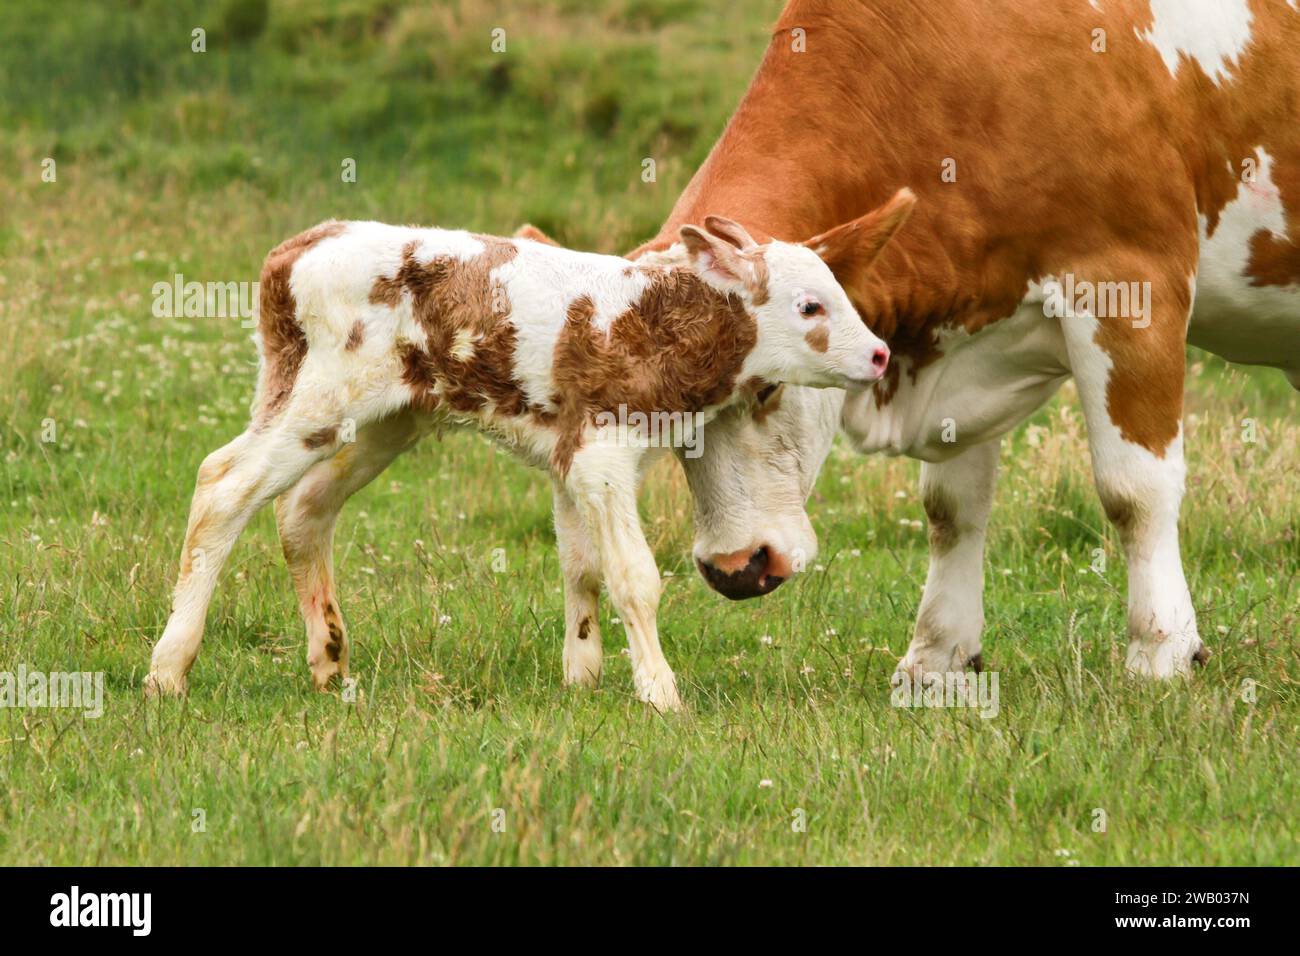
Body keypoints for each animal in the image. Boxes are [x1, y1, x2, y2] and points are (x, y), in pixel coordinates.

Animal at [144, 214, 898, 710]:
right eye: (811, 306)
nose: (880, 353)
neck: (661, 321)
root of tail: (299, 247)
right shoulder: (602, 452)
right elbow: (635, 577)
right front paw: (660, 693)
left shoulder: (576, 457)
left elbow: (583, 567)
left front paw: (583, 678)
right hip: (321, 393)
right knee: (223, 484)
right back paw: (169, 671)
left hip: (387, 416)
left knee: (304, 509)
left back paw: (331, 666)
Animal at [634, 0, 1300, 681]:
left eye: (767, 388)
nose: (735, 569)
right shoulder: (960, 333)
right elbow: (951, 508)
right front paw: (937, 659)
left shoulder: (1132, 281)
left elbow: (1134, 490)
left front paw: (1159, 652)